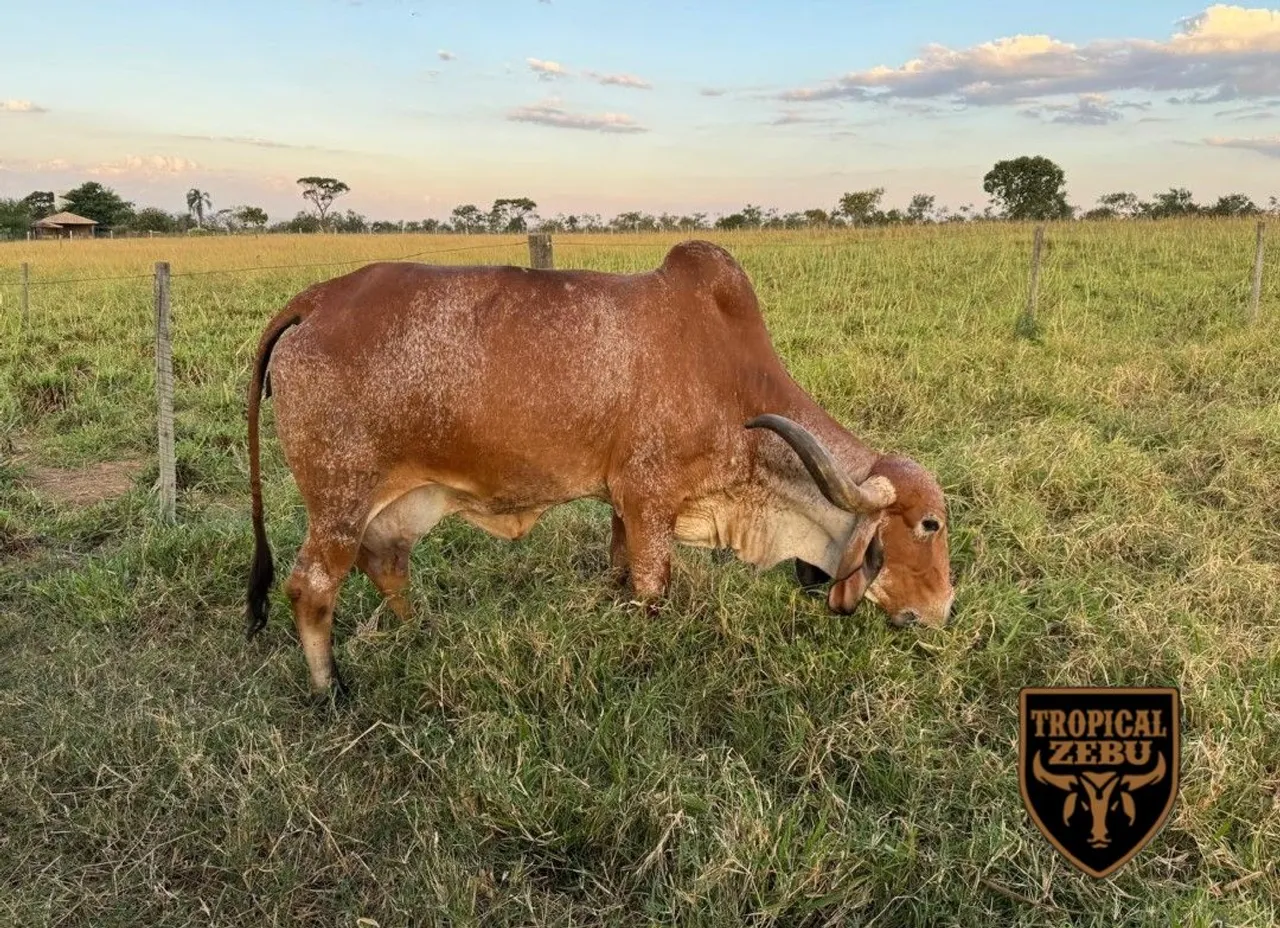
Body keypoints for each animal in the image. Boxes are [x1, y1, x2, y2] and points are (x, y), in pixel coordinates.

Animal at [246, 240, 954, 694]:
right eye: (930, 526)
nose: (944, 609)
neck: (733, 383)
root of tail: (316, 299)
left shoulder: (624, 503)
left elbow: (617, 571)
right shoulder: (649, 498)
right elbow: (650, 590)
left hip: (395, 505)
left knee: (387, 566)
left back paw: (419, 633)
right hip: (338, 501)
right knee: (311, 587)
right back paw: (330, 689)